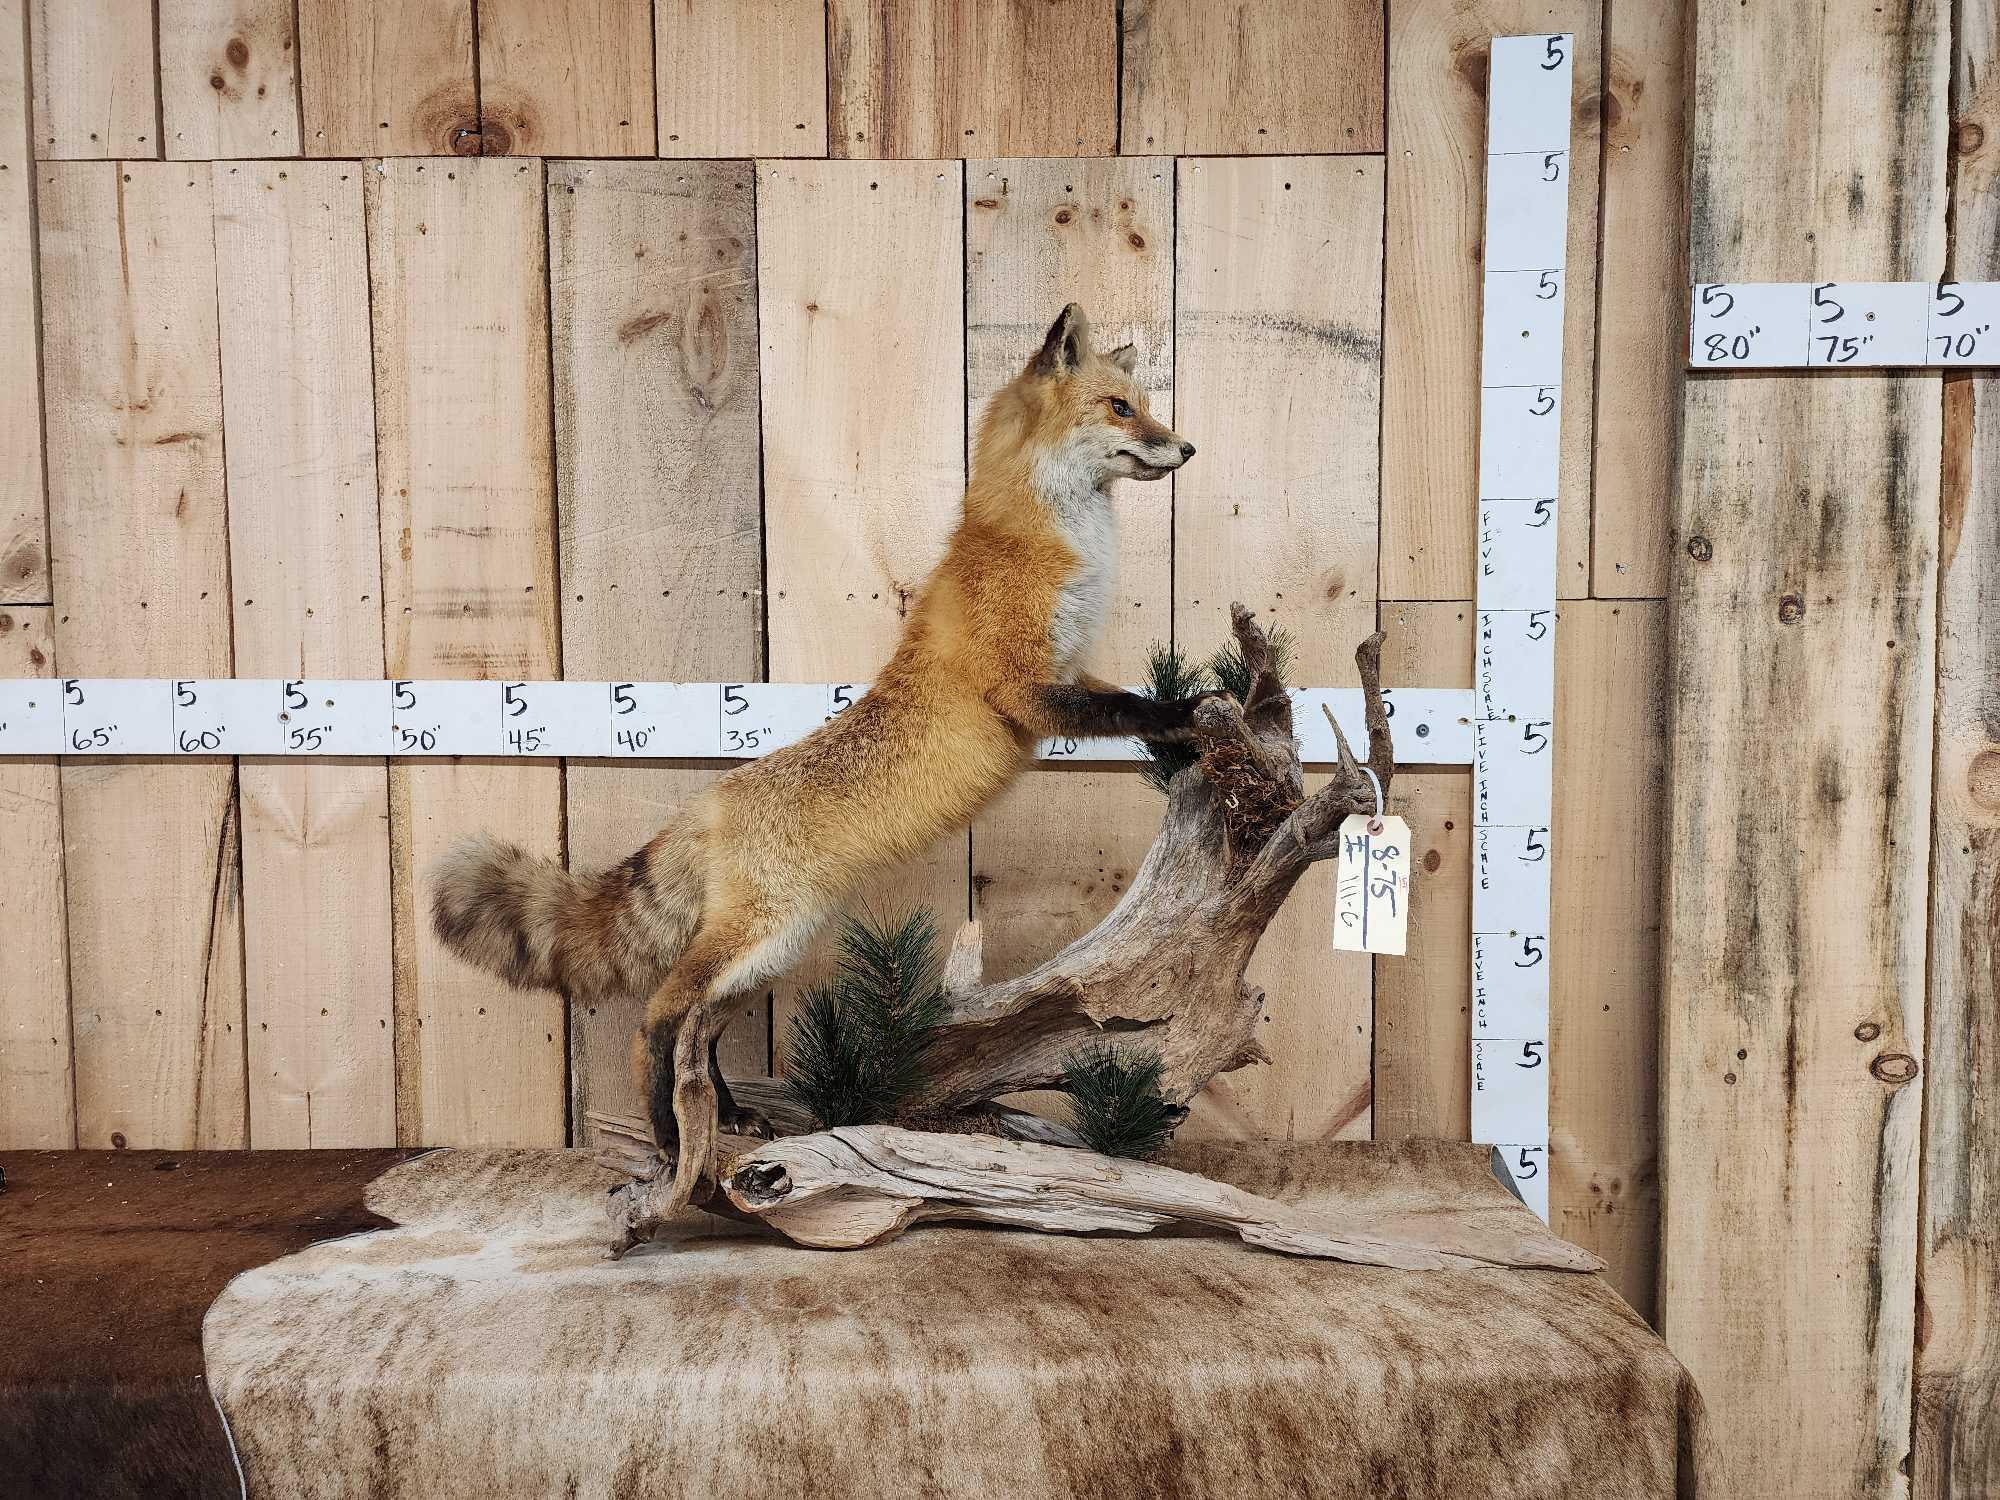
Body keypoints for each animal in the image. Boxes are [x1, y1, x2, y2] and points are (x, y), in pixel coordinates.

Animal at [431, 303, 1209, 1219]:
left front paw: (1183, 736)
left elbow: (1125, 708)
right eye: (1123, 408)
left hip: (769, 947)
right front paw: (1193, 715)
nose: (1188, 447)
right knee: (657, 1017)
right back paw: (667, 1137)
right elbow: (1130, 707)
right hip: (758, 937)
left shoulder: (1069, 676)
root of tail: (709, 804)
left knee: (699, 1025)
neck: (1037, 538)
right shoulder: (1026, 691)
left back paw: (725, 1111)